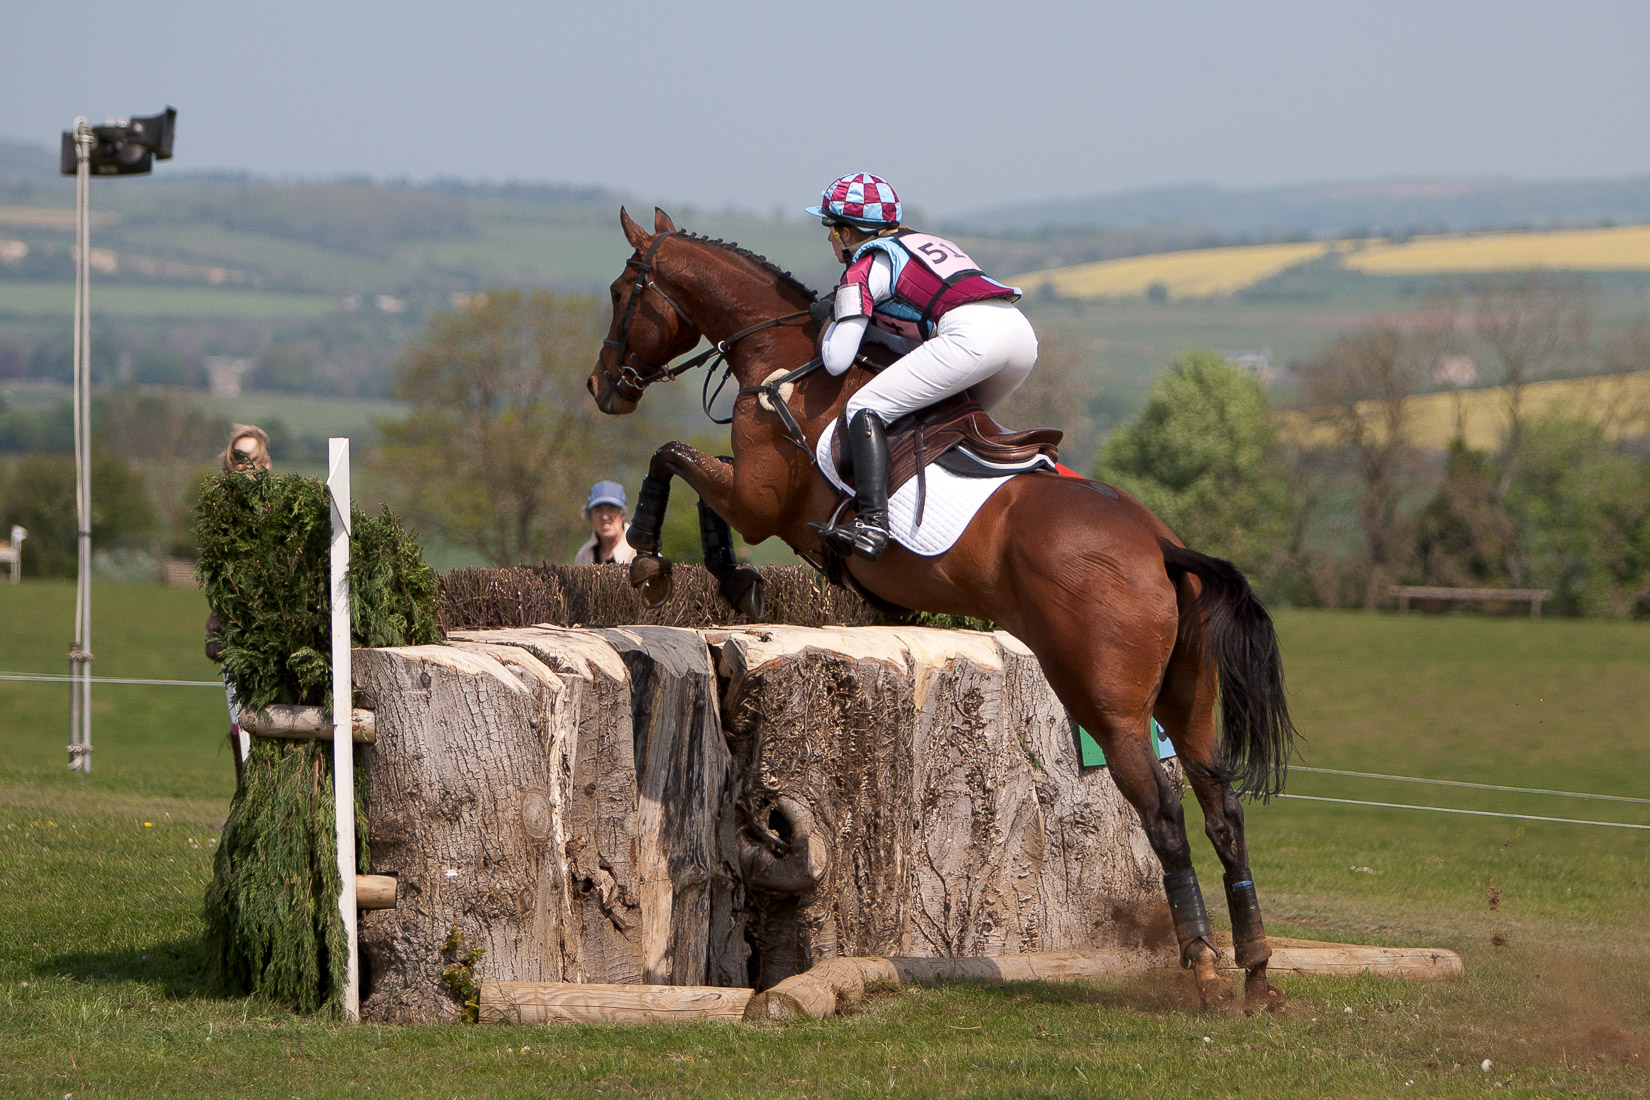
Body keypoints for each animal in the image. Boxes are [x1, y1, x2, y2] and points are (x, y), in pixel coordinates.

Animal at [588, 207, 1297, 1010]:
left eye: (620, 292)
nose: (602, 385)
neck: (786, 364)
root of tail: (1159, 545)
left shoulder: (760, 499)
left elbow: (672, 457)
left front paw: (654, 562)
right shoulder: (756, 499)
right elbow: (689, 476)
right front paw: (728, 580)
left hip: (1106, 703)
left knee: (1167, 817)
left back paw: (1204, 969)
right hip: (1189, 697)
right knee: (1223, 809)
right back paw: (1257, 970)